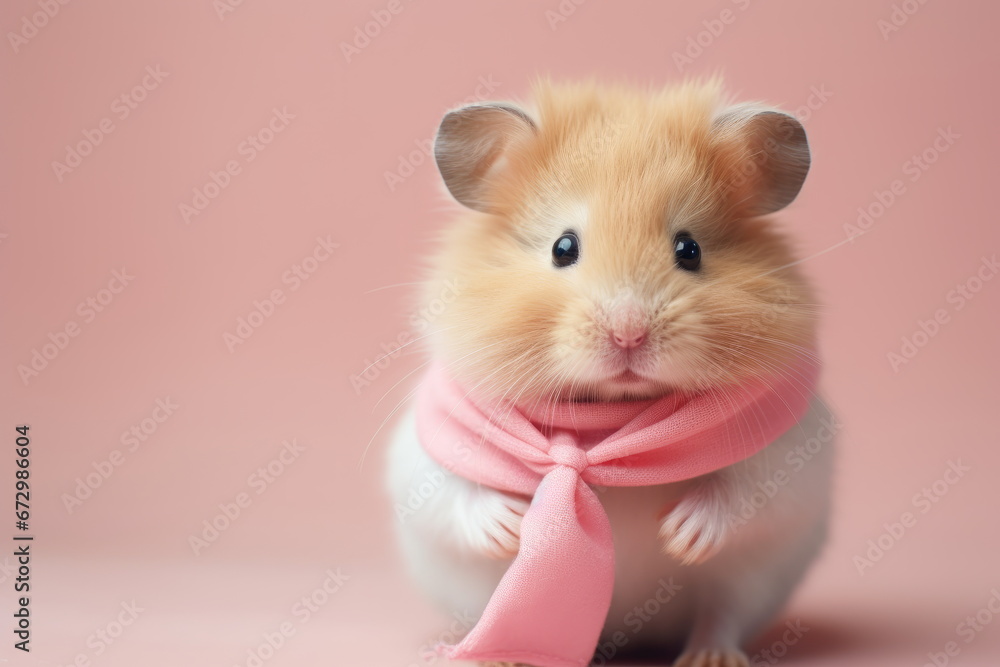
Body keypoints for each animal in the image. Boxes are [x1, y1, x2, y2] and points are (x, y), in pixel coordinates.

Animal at [386, 79, 834, 667]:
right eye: (563, 247)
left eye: (689, 249)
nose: (628, 333)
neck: (610, 420)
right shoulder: (428, 445)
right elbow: (451, 490)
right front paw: (512, 527)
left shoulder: (792, 452)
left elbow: (747, 490)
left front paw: (678, 534)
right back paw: (495, 652)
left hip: (753, 581)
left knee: (721, 614)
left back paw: (709, 656)